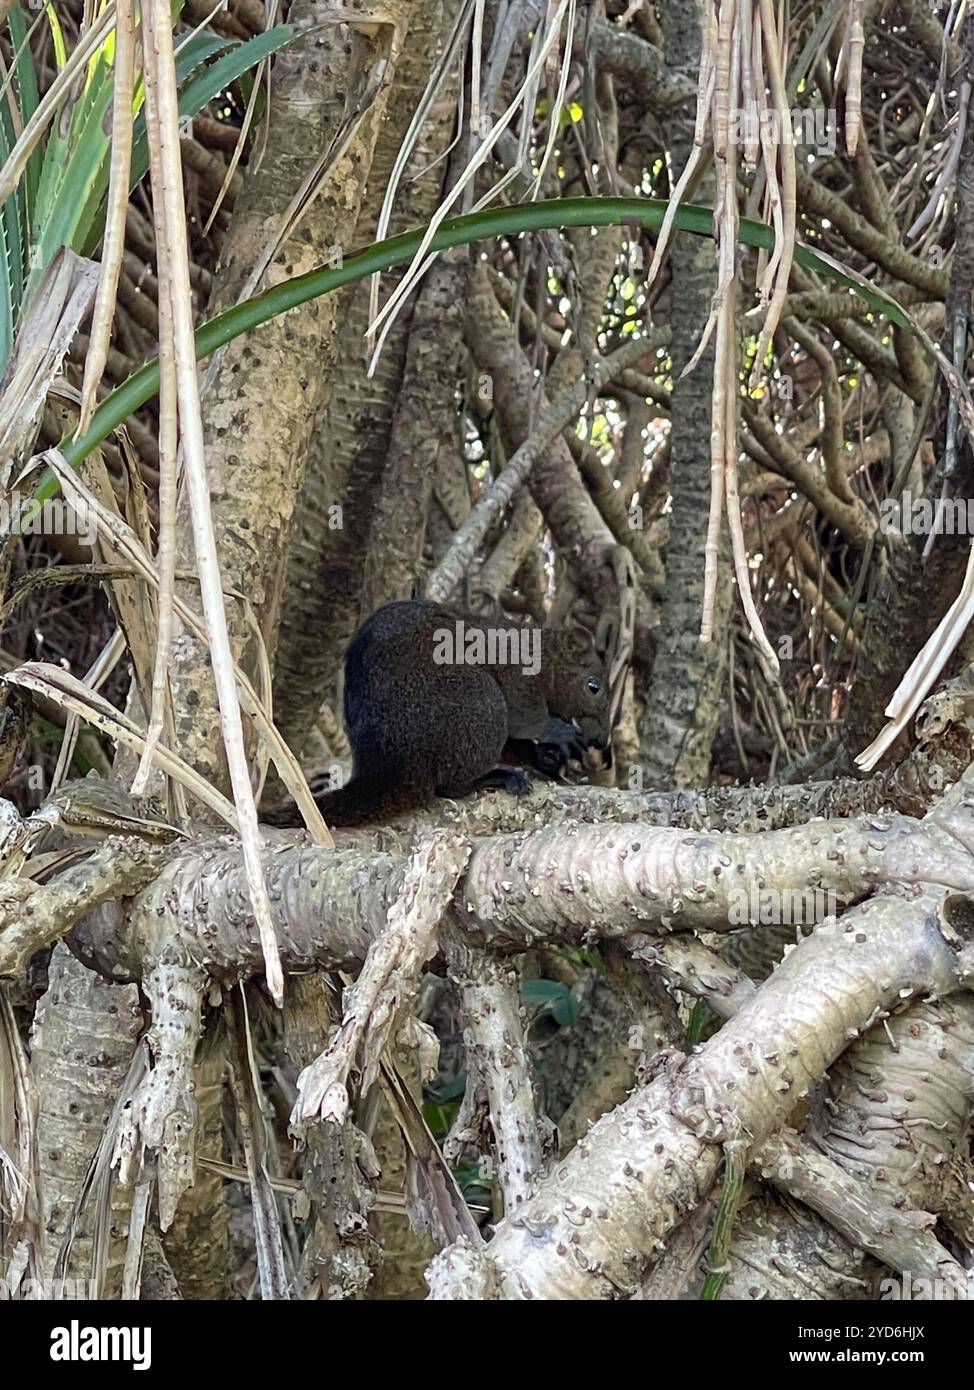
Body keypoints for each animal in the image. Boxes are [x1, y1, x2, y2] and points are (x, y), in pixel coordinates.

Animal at [263, 598, 612, 827]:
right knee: (450, 786)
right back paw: (494, 777)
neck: (543, 657)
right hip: (482, 704)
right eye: (593, 686)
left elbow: (518, 745)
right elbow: (527, 721)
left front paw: (551, 756)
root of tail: (393, 764)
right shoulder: (517, 681)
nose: (601, 739)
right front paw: (563, 734)